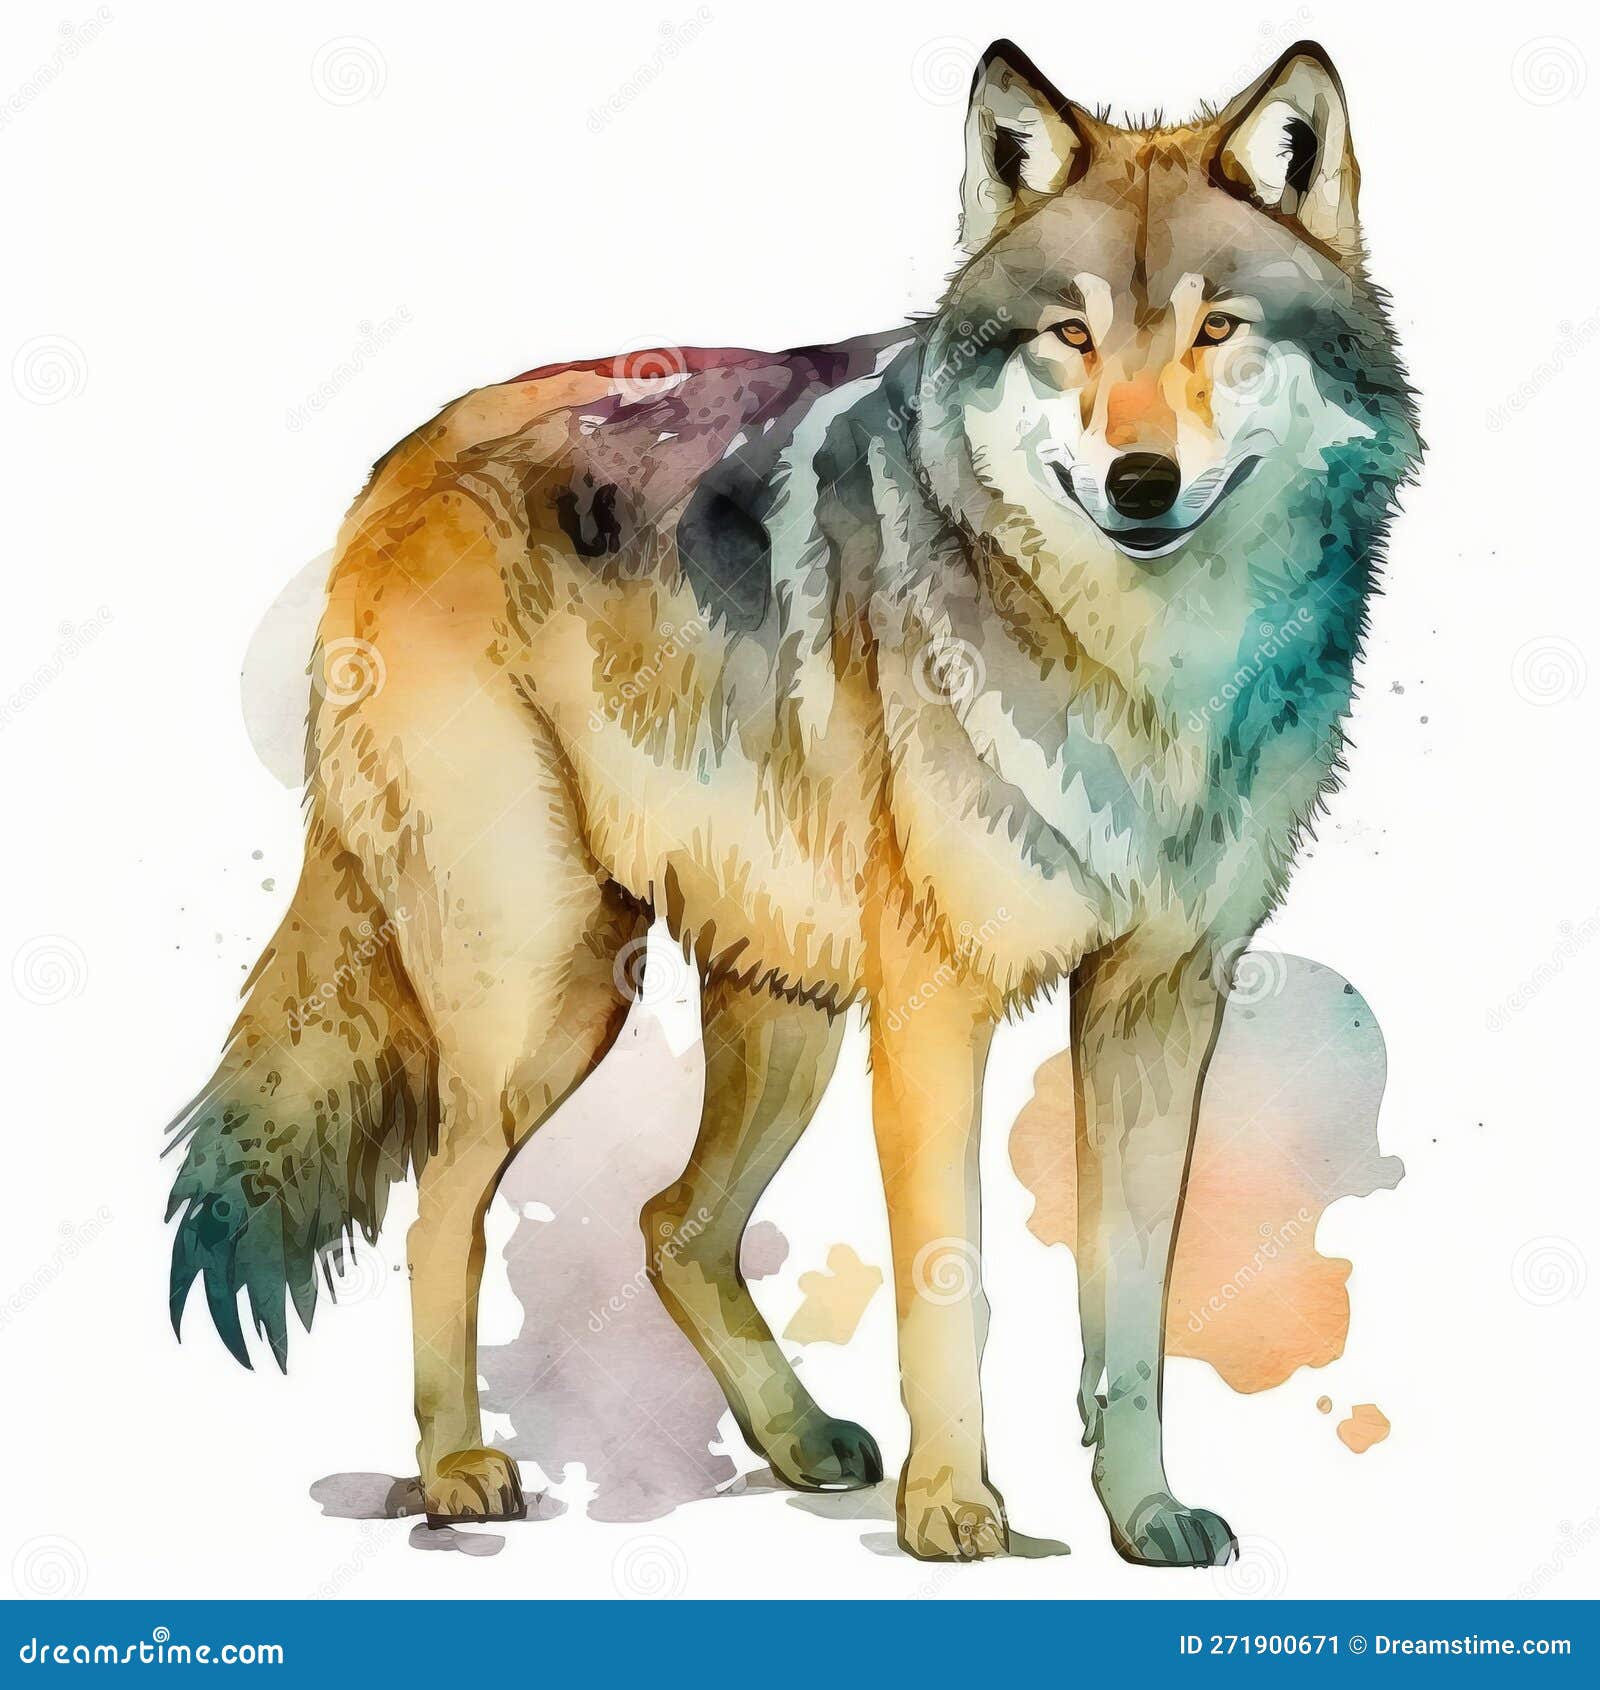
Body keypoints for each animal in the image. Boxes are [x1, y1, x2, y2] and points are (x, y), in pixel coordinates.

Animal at [166, 39, 1419, 1565]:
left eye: (1218, 327)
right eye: (1069, 335)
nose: (1139, 482)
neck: (1147, 667)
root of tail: (389, 472)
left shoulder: (1158, 1003)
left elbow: (1132, 1301)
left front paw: (1145, 1515)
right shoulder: (937, 1007)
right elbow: (949, 1279)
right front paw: (955, 1511)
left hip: (784, 1012)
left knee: (671, 1223)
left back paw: (800, 1439)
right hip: (552, 990)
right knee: (441, 1209)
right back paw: (462, 1466)